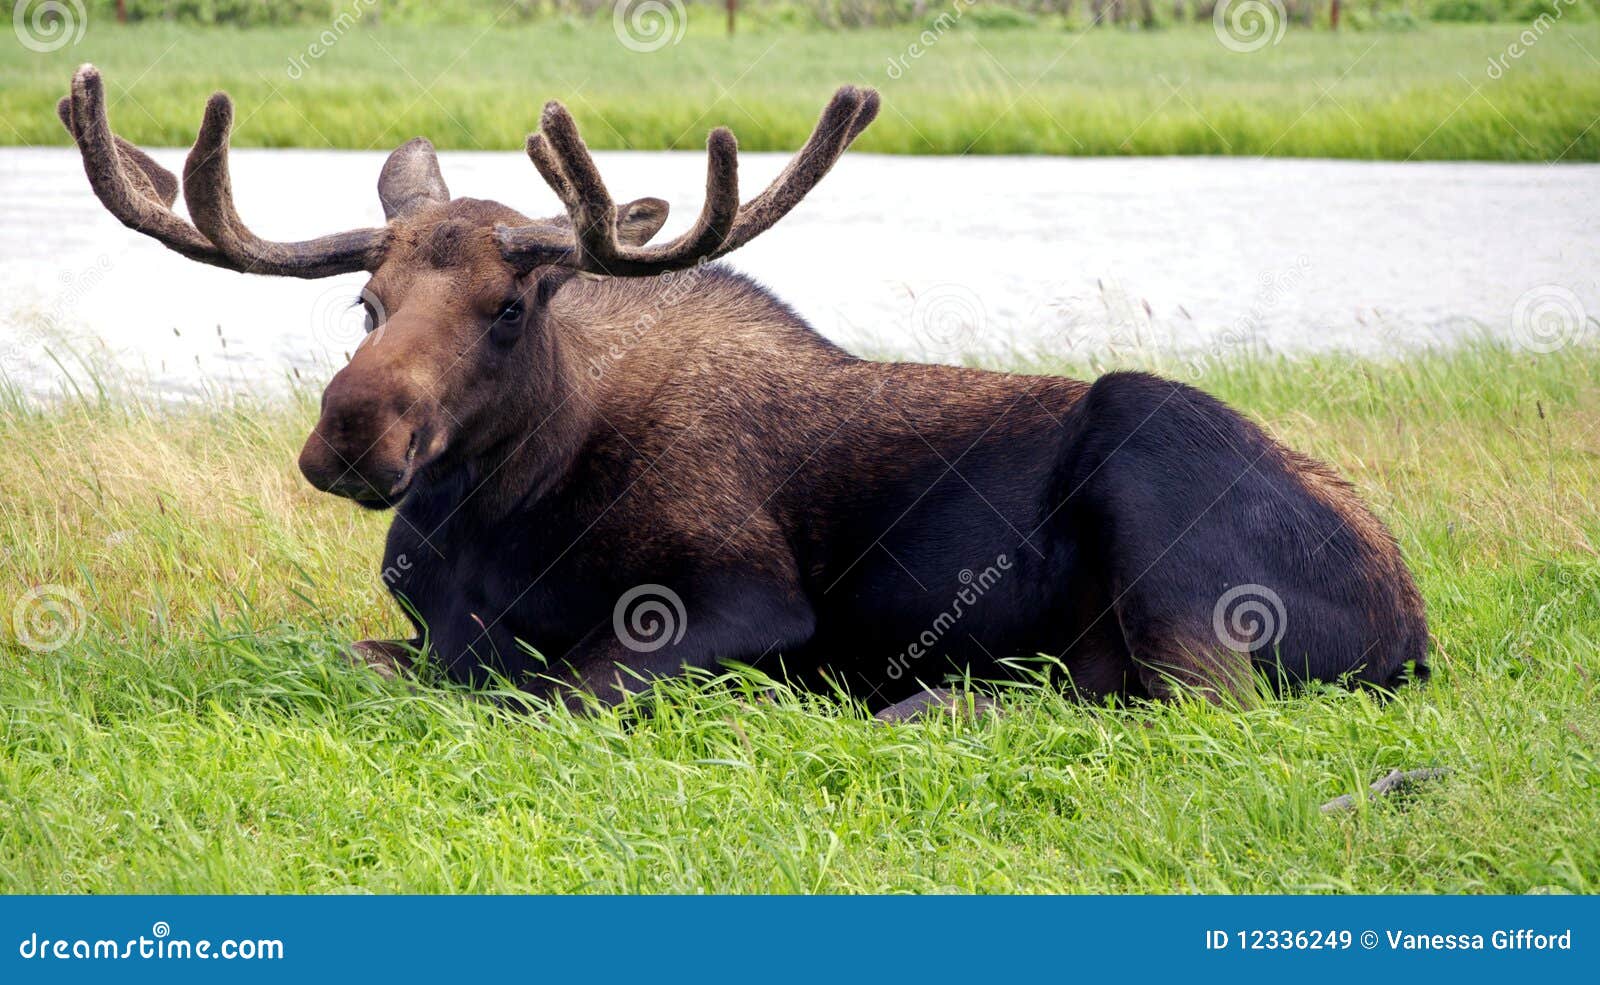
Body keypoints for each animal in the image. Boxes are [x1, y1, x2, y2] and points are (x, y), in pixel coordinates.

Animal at [59, 65, 1428, 721]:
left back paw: (934, 701)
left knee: (1182, 702)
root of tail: (1411, 635)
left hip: (1160, 473)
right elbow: (364, 656)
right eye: (366, 303)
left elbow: (555, 693)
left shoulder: (736, 599)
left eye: (509, 308)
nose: (352, 434)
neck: (488, 527)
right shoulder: (420, 629)